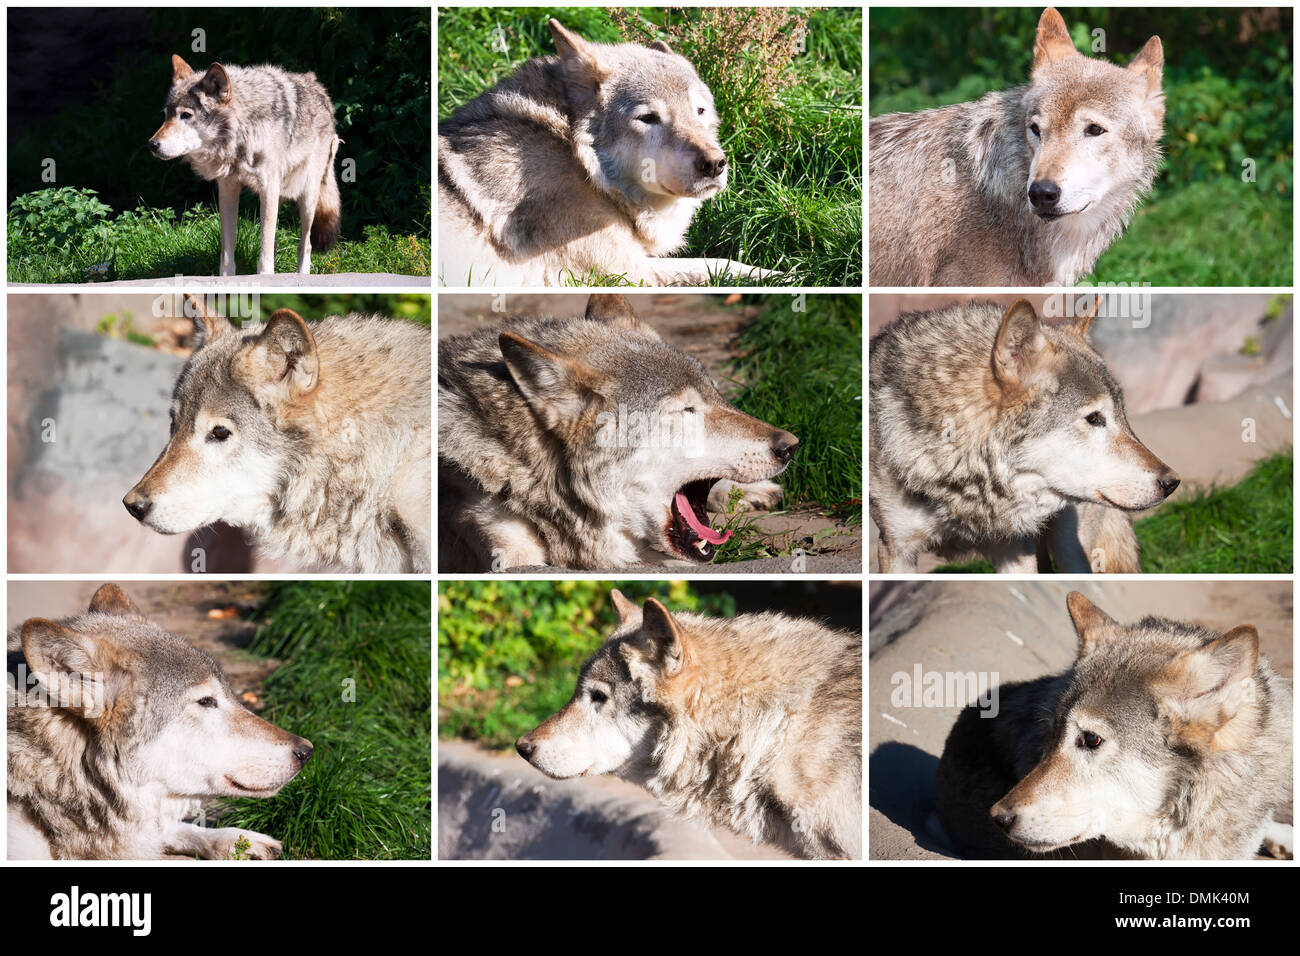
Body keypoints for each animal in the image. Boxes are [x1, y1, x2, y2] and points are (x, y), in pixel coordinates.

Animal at [149, 55, 341, 275]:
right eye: (166, 115)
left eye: (186, 115)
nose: (152, 144)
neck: (243, 132)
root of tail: (320, 89)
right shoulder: (228, 189)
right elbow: (227, 251)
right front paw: (226, 279)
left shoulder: (268, 189)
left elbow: (265, 252)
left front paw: (265, 277)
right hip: (281, 195)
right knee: (275, 241)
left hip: (307, 198)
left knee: (305, 245)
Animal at [439, 20, 772, 287]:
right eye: (648, 118)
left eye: (699, 111)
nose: (715, 164)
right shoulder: (624, 273)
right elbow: (713, 265)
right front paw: (779, 276)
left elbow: (720, 263)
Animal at [869, 298, 1178, 573]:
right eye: (1094, 419)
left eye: (1123, 417)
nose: (1171, 483)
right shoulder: (895, 549)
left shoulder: (1016, 548)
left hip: (1070, 547)